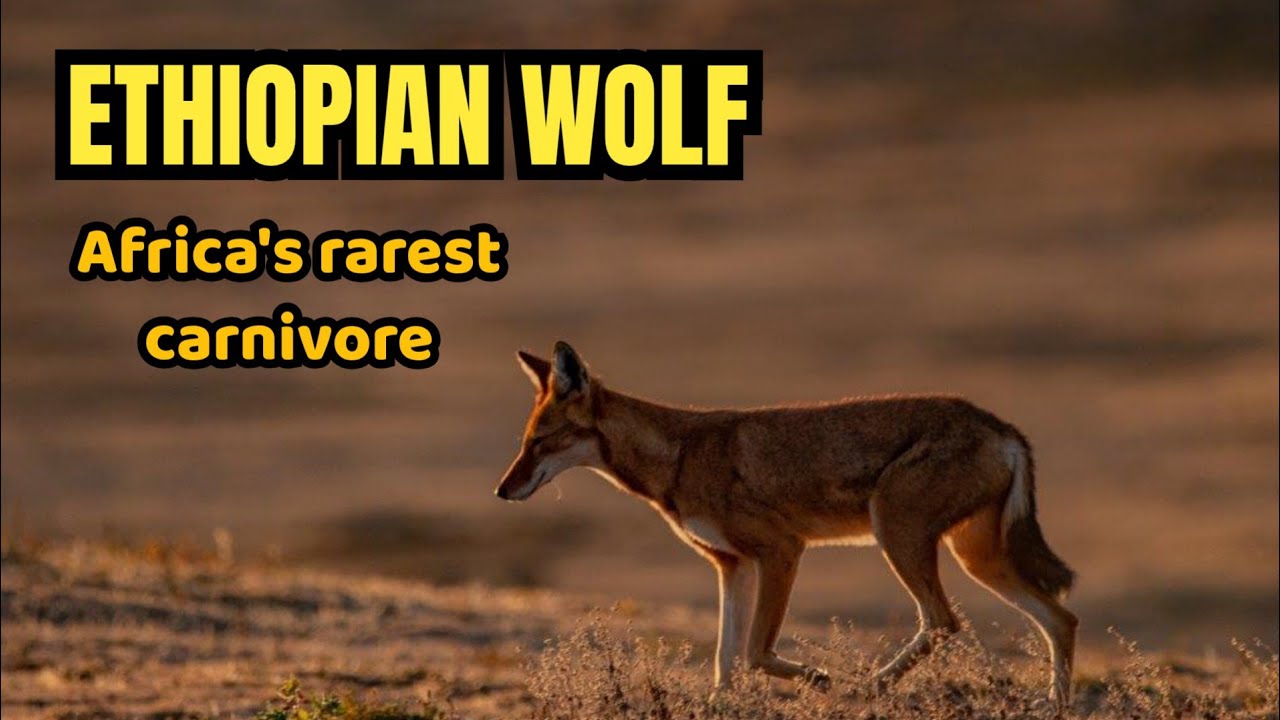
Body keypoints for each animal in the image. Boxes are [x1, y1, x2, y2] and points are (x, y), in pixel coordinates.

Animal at [496, 342, 1076, 706]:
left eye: (540, 442)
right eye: (525, 442)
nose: (502, 491)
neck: (678, 456)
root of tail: (1002, 425)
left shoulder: (781, 551)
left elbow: (754, 653)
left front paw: (820, 677)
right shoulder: (731, 566)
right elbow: (724, 663)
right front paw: (721, 704)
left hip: (899, 538)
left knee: (944, 622)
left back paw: (867, 686)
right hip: (976, 559)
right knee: (1060, 620)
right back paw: (1054, 704)